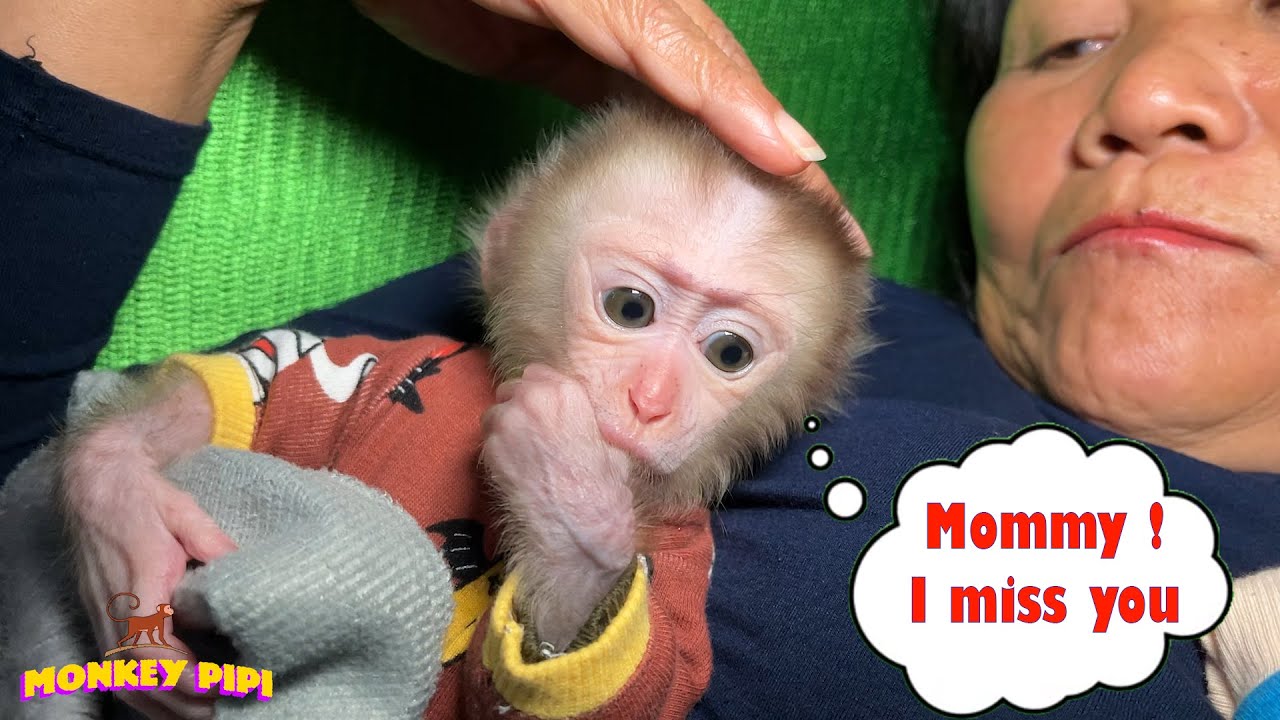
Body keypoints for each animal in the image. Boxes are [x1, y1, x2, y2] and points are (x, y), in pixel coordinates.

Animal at [54, 100, 873, 719]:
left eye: (729, 354)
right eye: (630, 307)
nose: (649, 404)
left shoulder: (679, 543)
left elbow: (641, 683)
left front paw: (571, 500)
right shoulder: (397, 363)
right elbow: (276, 384)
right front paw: (117, 497)